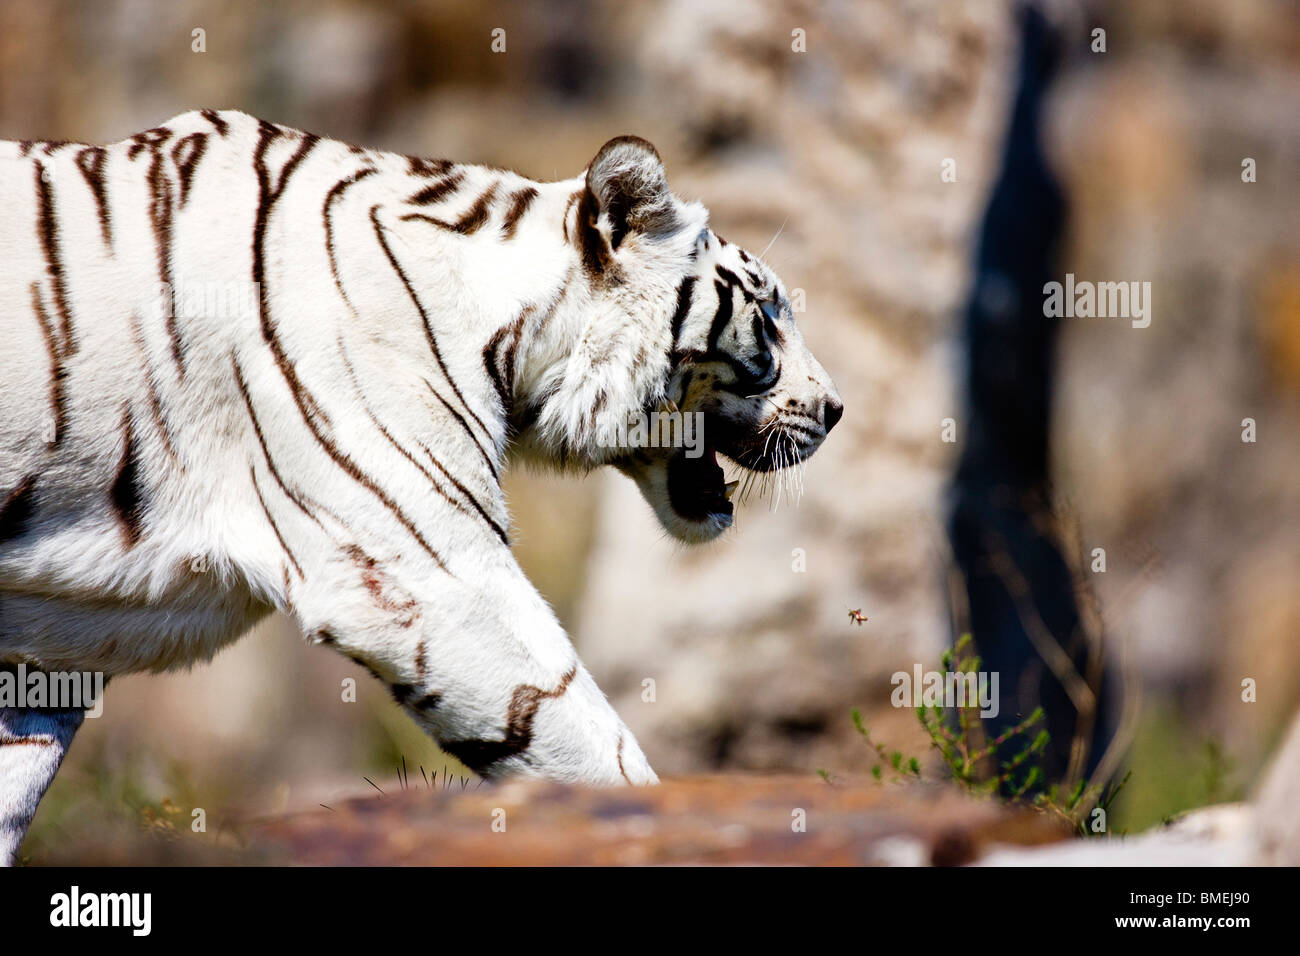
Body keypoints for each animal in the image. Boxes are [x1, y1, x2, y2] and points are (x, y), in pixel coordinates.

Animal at [0, 110, 842, 863]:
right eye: (769, 314)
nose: (836, 410)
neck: (507, 327)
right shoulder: (430, 578)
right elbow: (589, 744)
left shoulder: (46, 652)